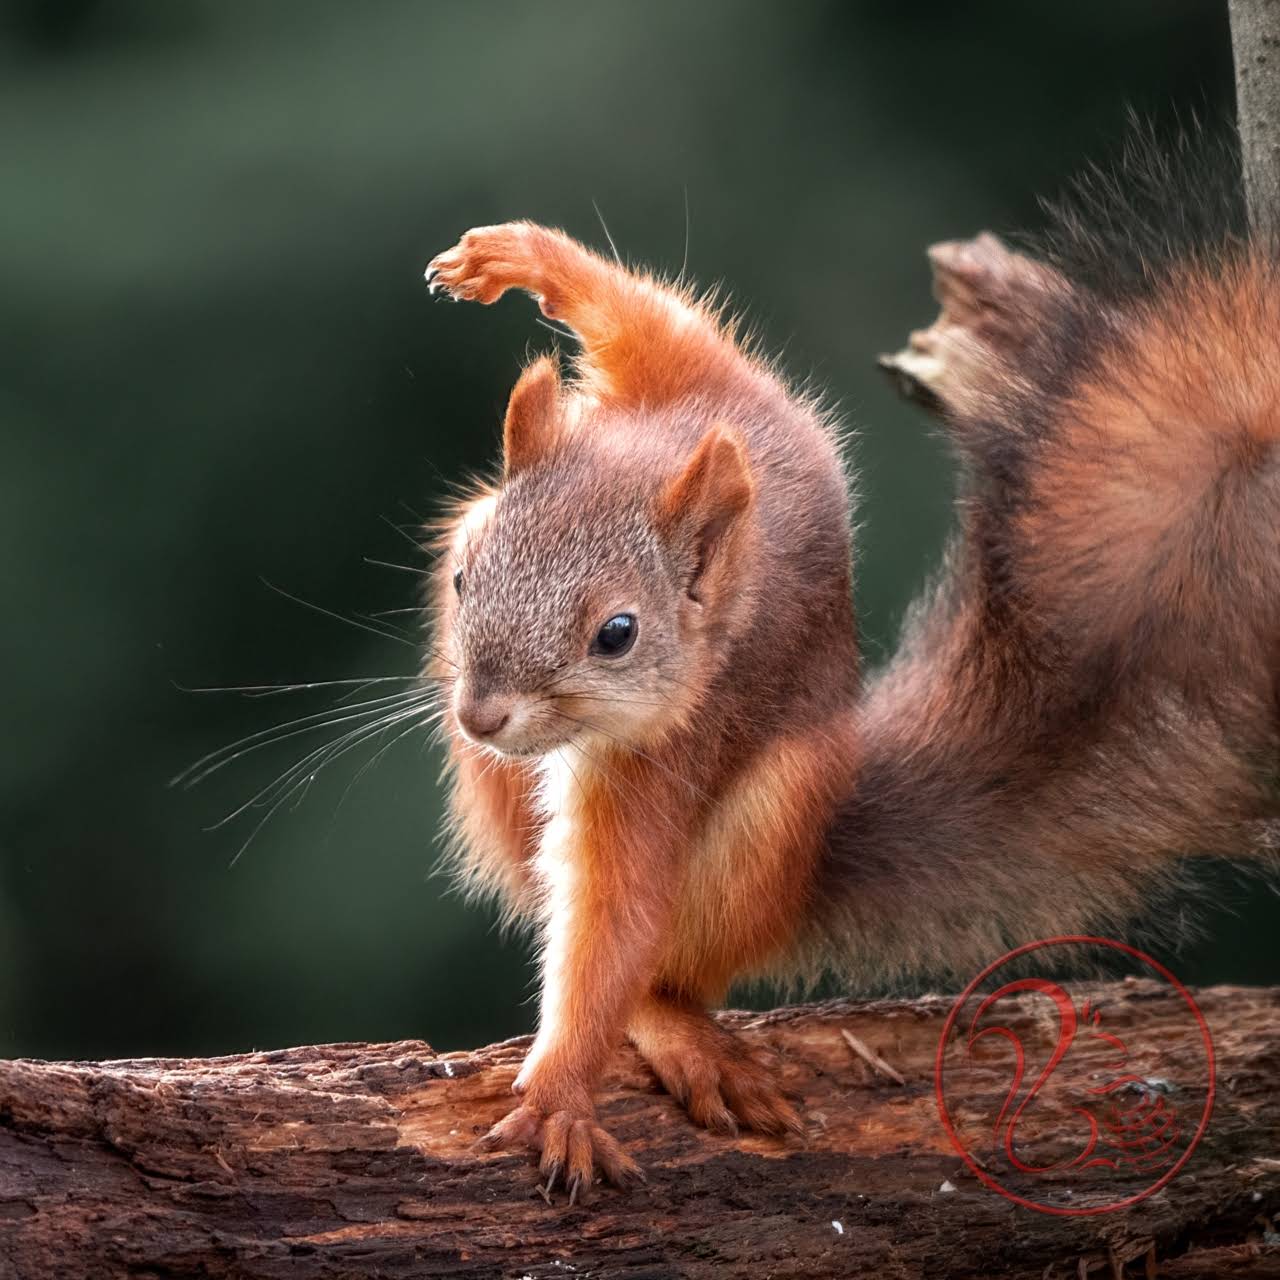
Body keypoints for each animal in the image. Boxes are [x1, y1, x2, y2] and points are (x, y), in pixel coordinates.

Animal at [422, 147, 1280, 1200]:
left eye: (617, 634)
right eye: (465, 574)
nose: (483, 717)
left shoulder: (667, 753)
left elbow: (612, 917)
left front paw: (560, 1099)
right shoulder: (714, 385)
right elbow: (653, 316)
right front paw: (517, 256)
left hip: (771, 824)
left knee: (664, 972)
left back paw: (676, 1026)